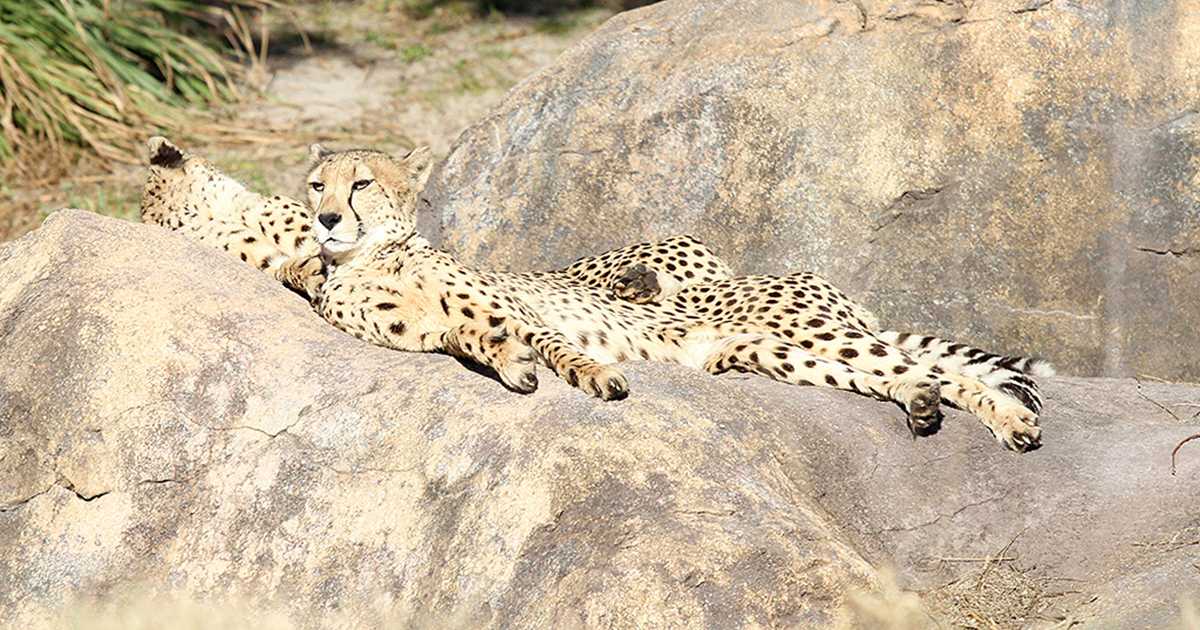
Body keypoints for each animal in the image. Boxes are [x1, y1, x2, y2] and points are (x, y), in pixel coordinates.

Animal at [277, 144, 1054, 452]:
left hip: (814, 331)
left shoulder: (521, 312)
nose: (327, 219)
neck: (374, 257)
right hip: (771, 354)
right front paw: (513, 366)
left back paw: (1013, 420)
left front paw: (595, 374)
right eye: (318, 185)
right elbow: (472, 338)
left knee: (944, 371)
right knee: (904, 378)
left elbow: (554, 344)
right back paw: (922, 406)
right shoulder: (434, 333)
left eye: (362, 184)